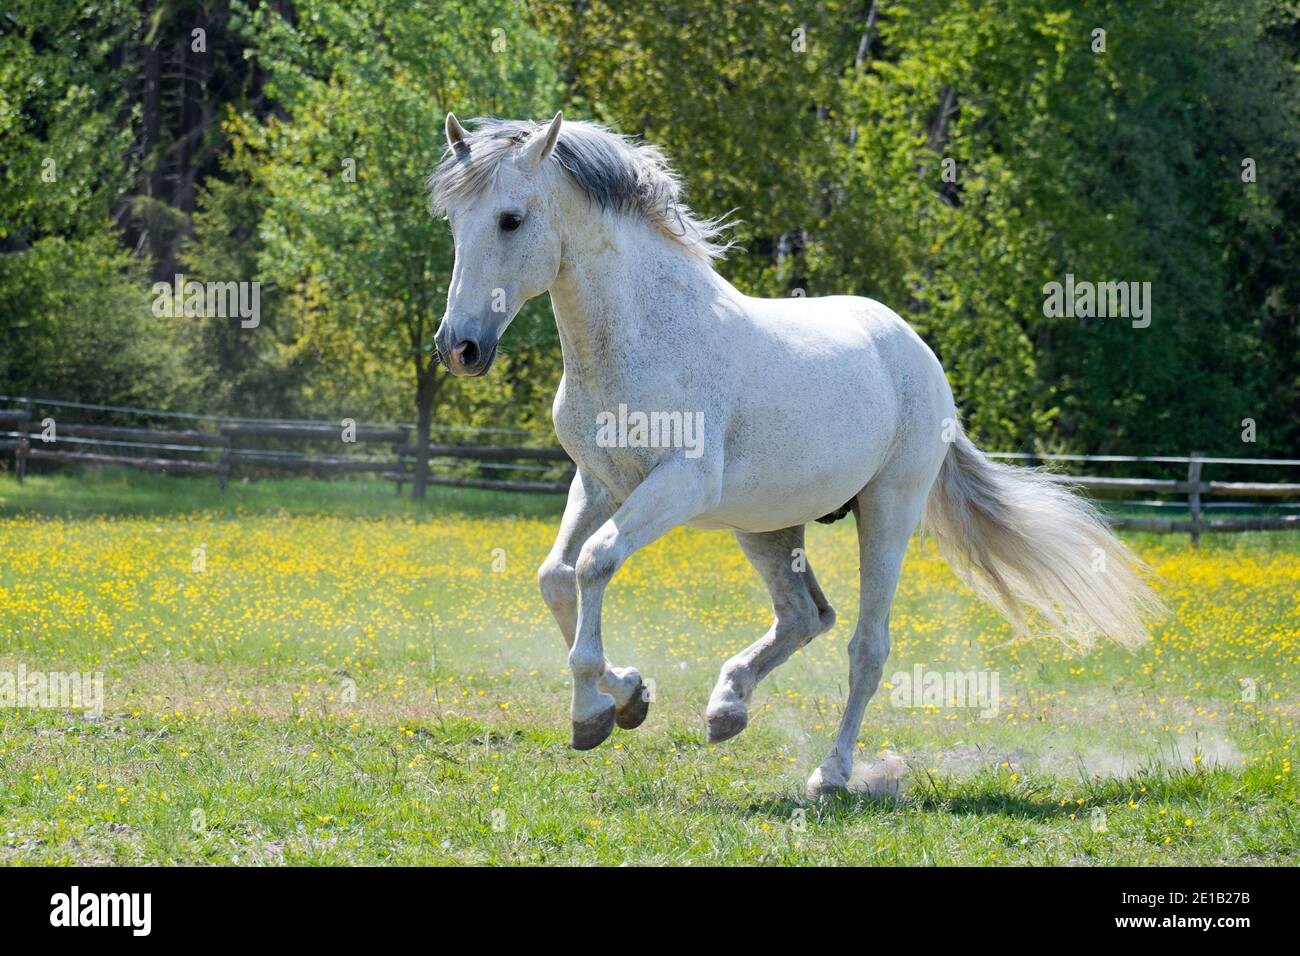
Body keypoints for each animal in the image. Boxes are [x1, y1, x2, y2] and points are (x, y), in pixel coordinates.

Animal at [429, 112, 1161, 796]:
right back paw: (727, 709)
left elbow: (595, 562)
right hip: (767, 526)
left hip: (888, 511)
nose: (459, 348)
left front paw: (591, 714)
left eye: (511, 219)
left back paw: (831, 774)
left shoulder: (680, 484)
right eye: (454, 222)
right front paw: (628, 698)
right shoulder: (599, 481)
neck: (643, 335)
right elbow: (556, 576)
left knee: (866, 646)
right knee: (806, 615)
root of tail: (918, 354)